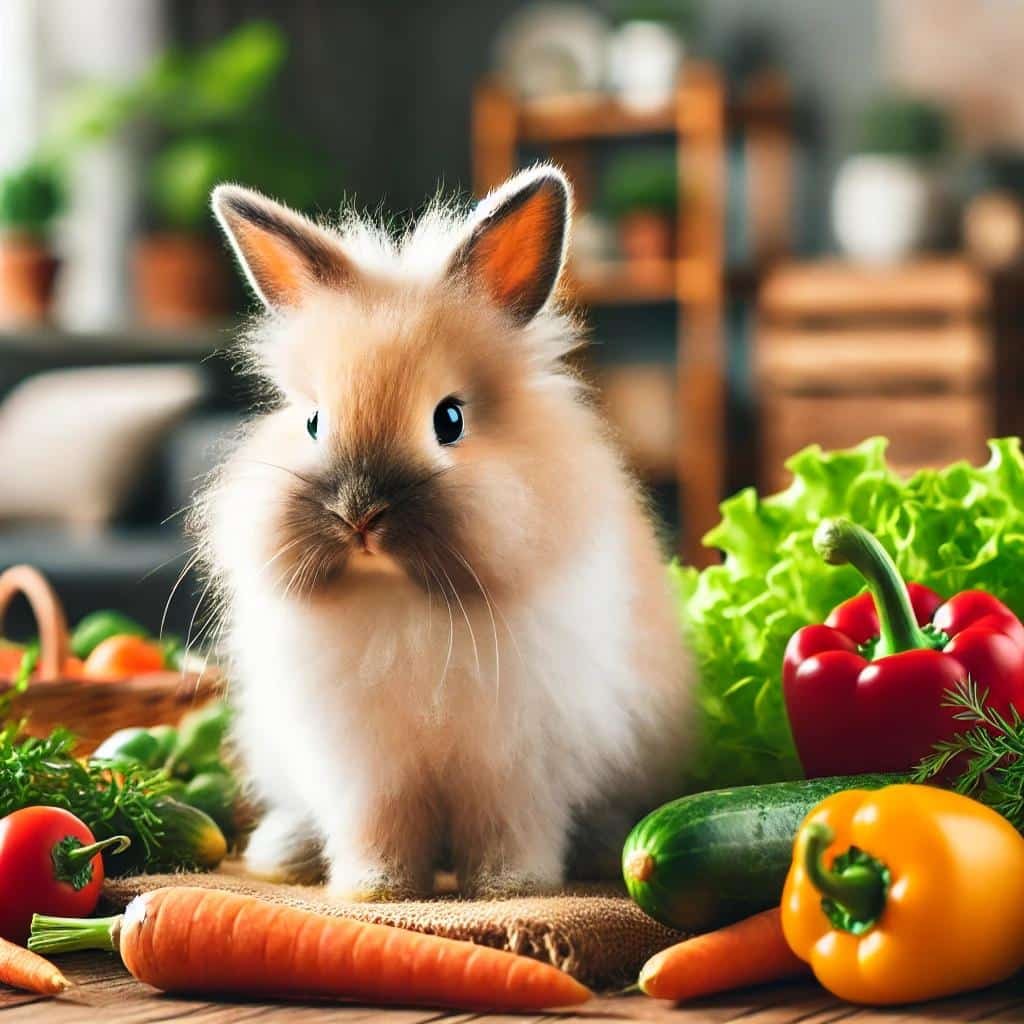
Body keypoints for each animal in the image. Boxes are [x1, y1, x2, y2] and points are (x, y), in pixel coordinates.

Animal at [194, 164, 692, 900]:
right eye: (312, 422)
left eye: (450, 420)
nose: (359, 513)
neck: (401, 602)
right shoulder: (368, 773)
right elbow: (380, 828)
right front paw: (375, 889)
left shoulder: (517, 764)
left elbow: (509, 827)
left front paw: (513, 888)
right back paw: (280, 854)